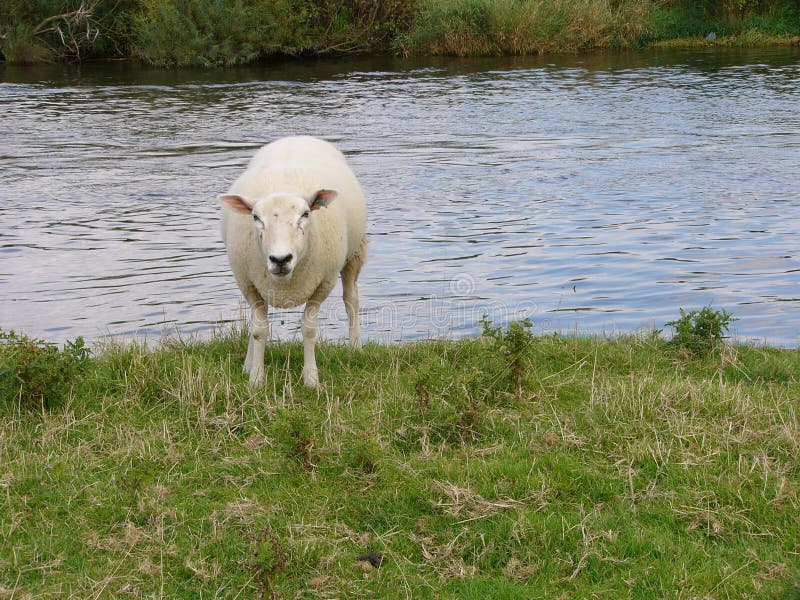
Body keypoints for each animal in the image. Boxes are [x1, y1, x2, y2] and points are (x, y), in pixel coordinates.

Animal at [219, 136, 367, 387]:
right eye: (255, 217)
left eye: (305, 214)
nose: (281, 259)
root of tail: (297, 137)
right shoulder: (248, 283)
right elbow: (258, 330)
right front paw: (256, 378)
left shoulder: (322, 284)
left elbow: (308, 330)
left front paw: (311, 379)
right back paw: (248, 363)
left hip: (354, 254)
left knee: (351, 300)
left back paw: (355, 348)